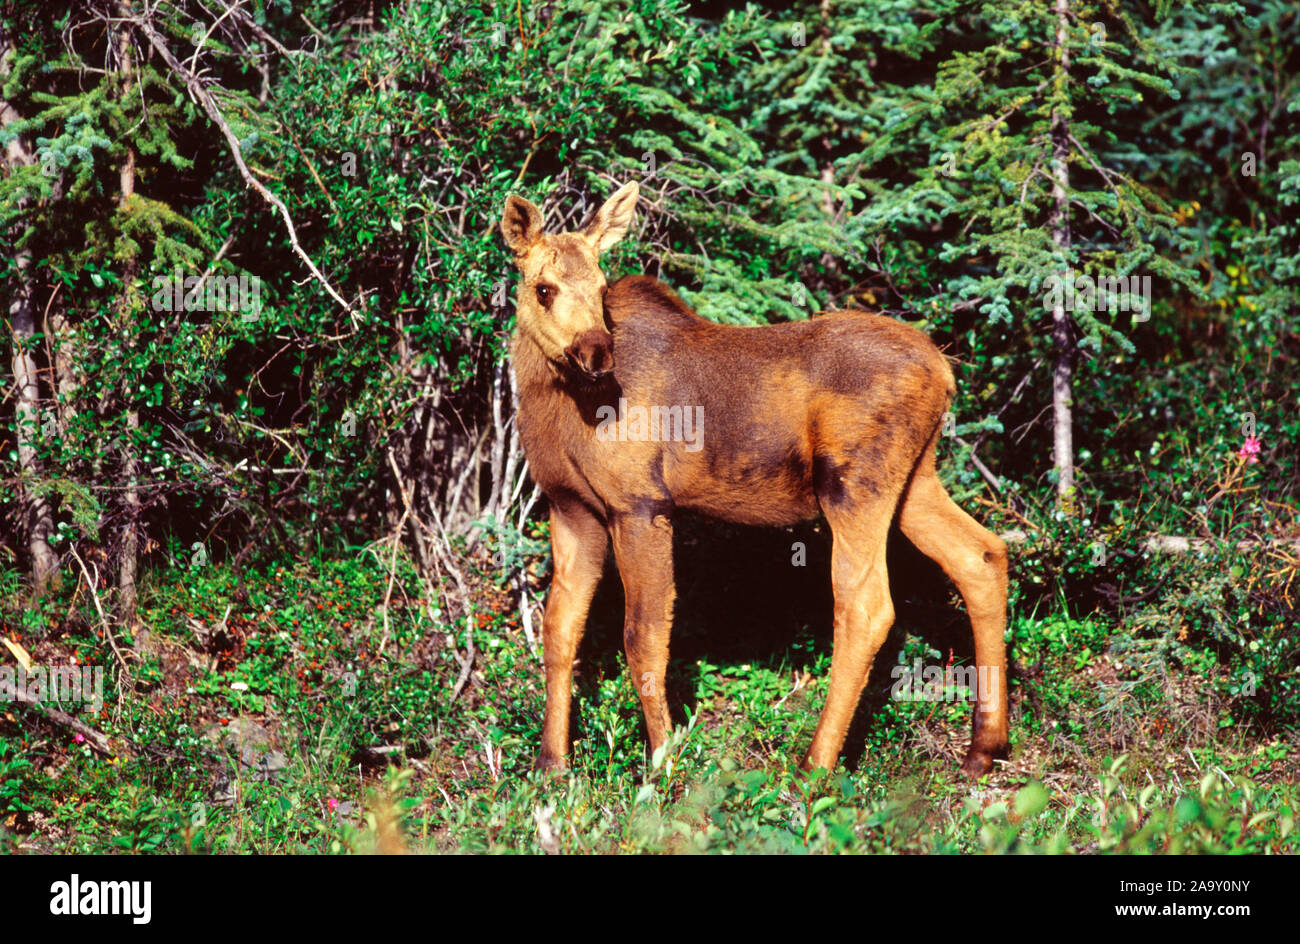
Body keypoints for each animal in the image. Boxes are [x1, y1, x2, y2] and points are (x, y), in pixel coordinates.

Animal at [501, 180, 1009, 776]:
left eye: (601, 287)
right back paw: (983, 747)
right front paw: (552, 763)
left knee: (865, 605)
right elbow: (559, 631)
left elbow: (643, 635)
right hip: (914, 480)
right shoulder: (570, 506)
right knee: (981, 555)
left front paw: (664, 761)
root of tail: (945, 370)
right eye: (544, 288)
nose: (596, 352)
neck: (553, 407)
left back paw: (816, 764)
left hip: (853, 482)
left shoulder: (642, 502)